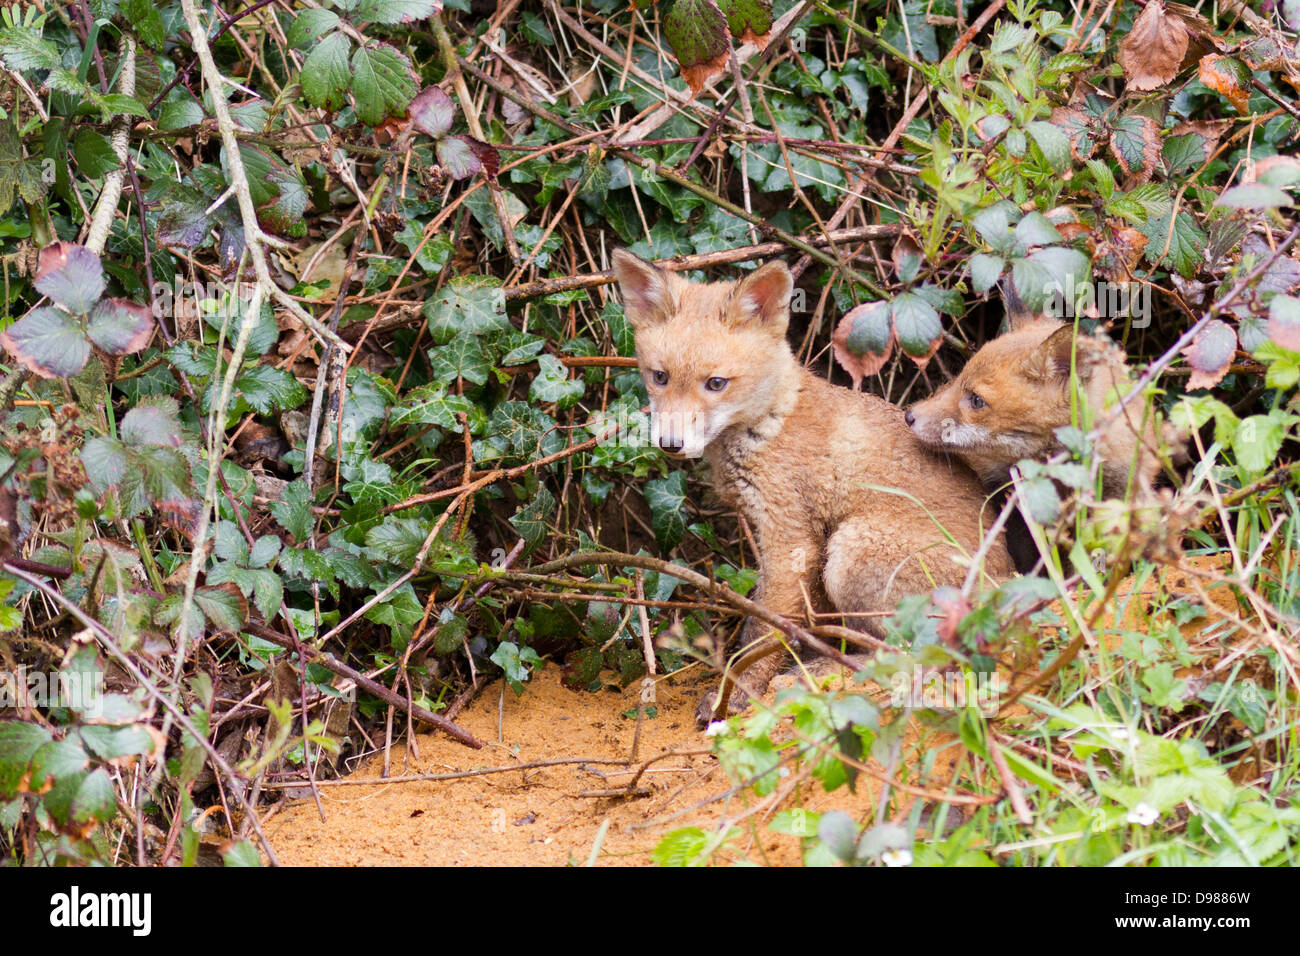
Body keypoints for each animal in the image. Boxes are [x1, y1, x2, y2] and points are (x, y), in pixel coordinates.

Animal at [611, 249, 1014, 722]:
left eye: (715, 383)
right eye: (659, 377)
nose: (670, 444)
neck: (770, 422)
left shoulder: (791, 539)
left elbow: (762, 633)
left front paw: (739, 693)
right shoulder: (791, 547)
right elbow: (779, 621)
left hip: (851, 547)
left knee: (909, 650)